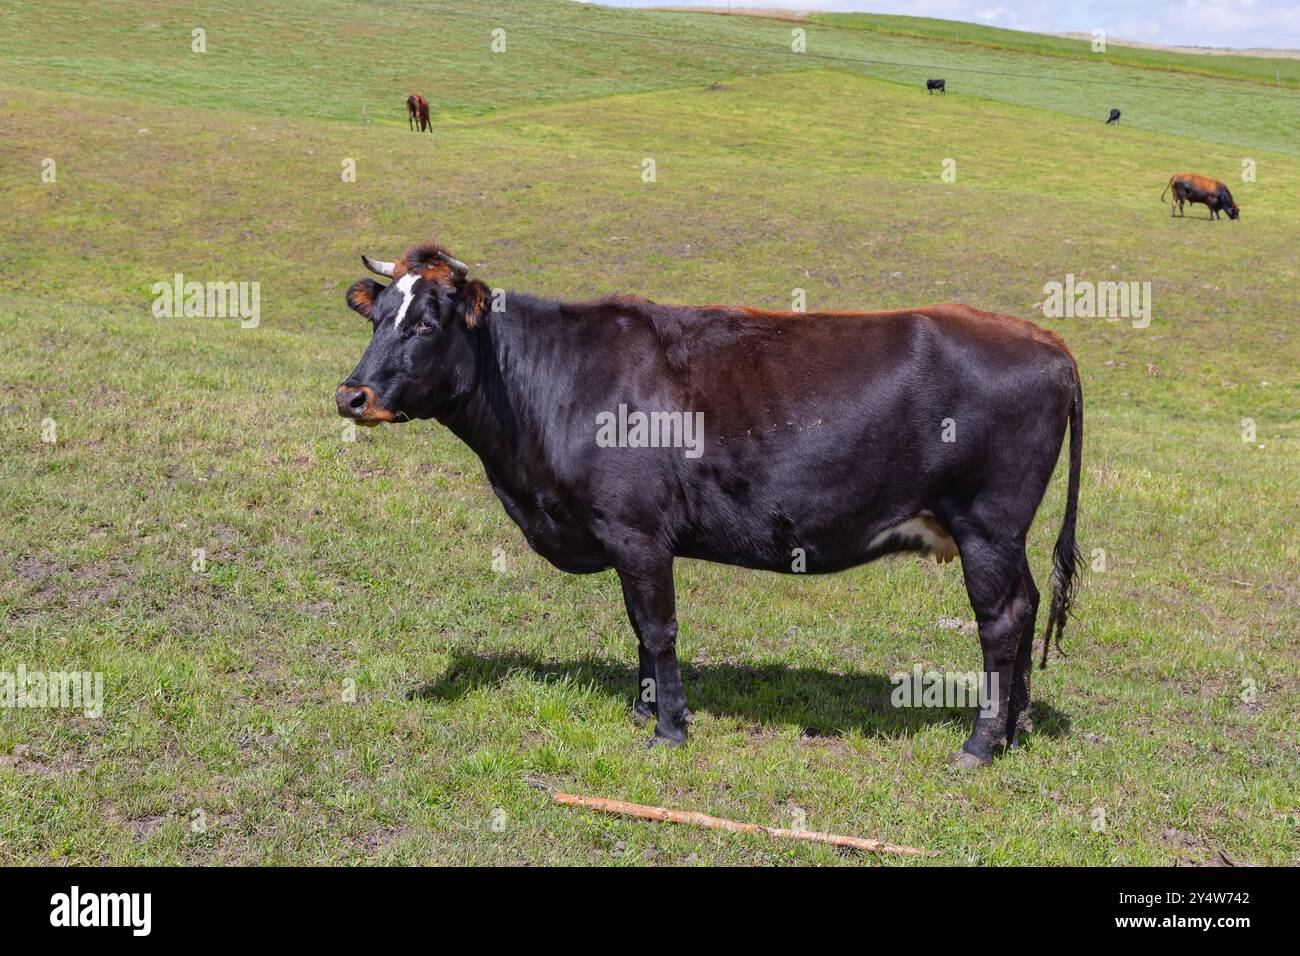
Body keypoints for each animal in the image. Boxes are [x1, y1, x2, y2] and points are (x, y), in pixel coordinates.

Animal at [335, 242, 1084, 768]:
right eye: (377, 317)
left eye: (427, 323)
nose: (351, 395)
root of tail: (1043, 339)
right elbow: (638, 628)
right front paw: (644, 712)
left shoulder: (636, 531)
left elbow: (658, 628)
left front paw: (668, 728)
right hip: (1004, 536)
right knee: (1028, 606)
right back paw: (1015, 729)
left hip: (985, 526)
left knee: (1001, 622)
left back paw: (980, 744)